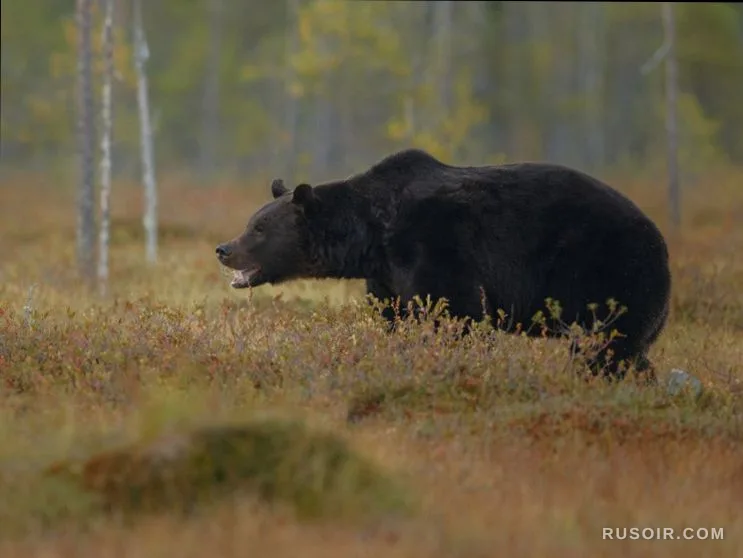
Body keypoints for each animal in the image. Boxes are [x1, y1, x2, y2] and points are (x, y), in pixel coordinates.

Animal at [216, 148, 672, 382]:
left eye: (258, 228)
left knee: (609, 344)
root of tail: (660, 239)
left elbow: (456, 312)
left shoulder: (437, 244)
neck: (373, 235)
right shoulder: (387, 276)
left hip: (611, 272)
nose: (223, 248)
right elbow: (397, 315)